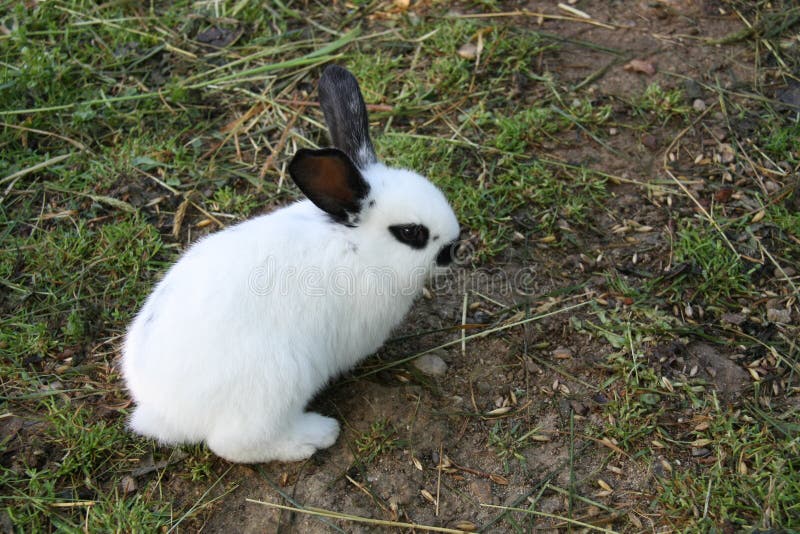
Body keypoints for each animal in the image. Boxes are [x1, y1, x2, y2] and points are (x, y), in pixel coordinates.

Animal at [121, 65, 460, 463]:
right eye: (411, 232)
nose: (453, 248)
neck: (355, 247)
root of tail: (163, 412)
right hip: (277, 381)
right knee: (235, 443)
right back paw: (314, 436)